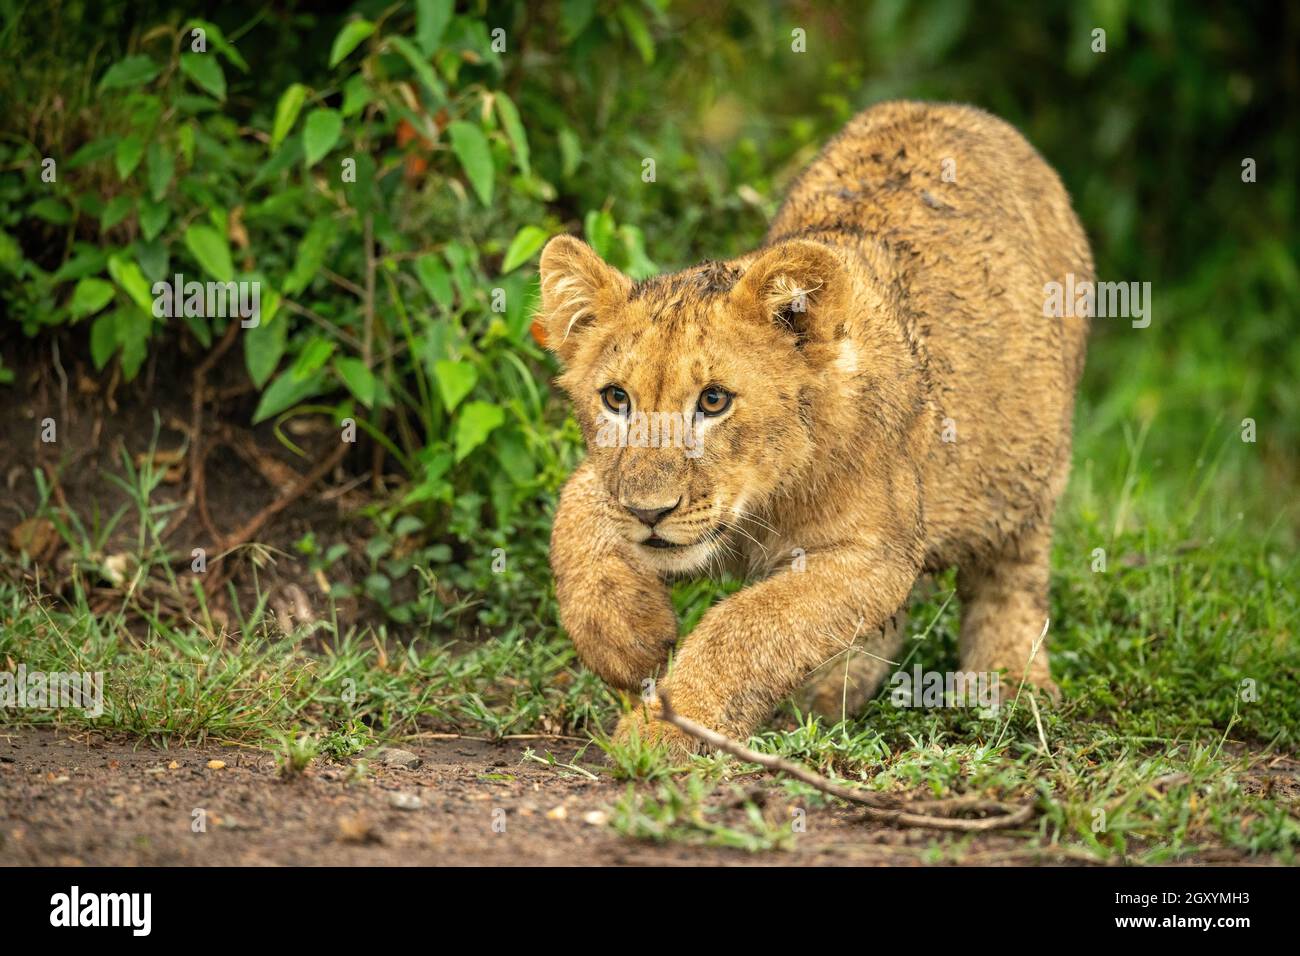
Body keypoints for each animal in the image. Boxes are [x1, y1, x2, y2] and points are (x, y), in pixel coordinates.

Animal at [536, 101, 1092, 756]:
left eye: (714, 400)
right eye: (616, 399)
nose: (650, 514)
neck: (763, 498)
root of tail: (957, 108)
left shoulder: (876, 551)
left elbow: (749, 625)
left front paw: (664, 731)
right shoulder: (607, 479)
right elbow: (575, 513)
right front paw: (629, 638)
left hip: (1030, 476)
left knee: (1012, 579)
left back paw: (1009, 686)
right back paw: (828, 702)